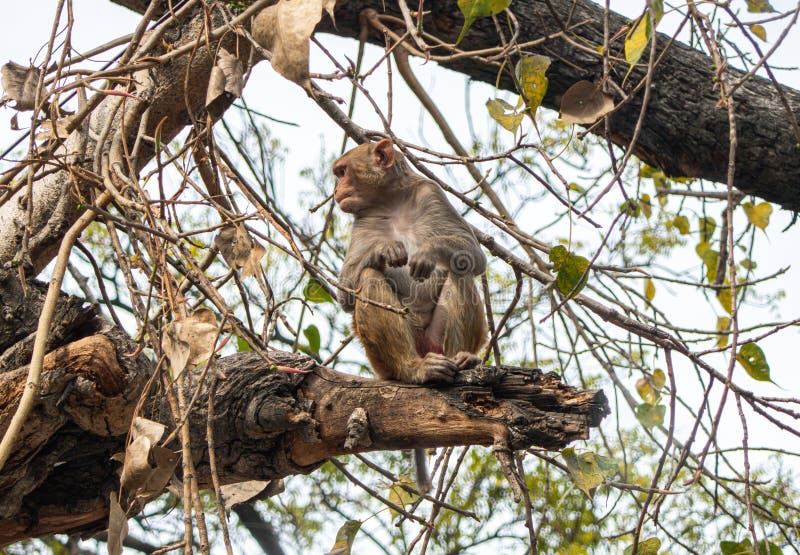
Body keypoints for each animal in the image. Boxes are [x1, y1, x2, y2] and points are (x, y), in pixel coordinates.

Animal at [333, 139, 488, 492]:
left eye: (343, 171)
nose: (336, 190)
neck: (392, 202)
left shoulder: (430, 193)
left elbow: (473, 254)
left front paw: (429, 253)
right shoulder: (362, 223)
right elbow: (346, 290)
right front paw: (383, 251)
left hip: (435, 340)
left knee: (461, 271)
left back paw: (462, 361)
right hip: (381, 362)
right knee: (369, 278)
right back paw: (414, 370)